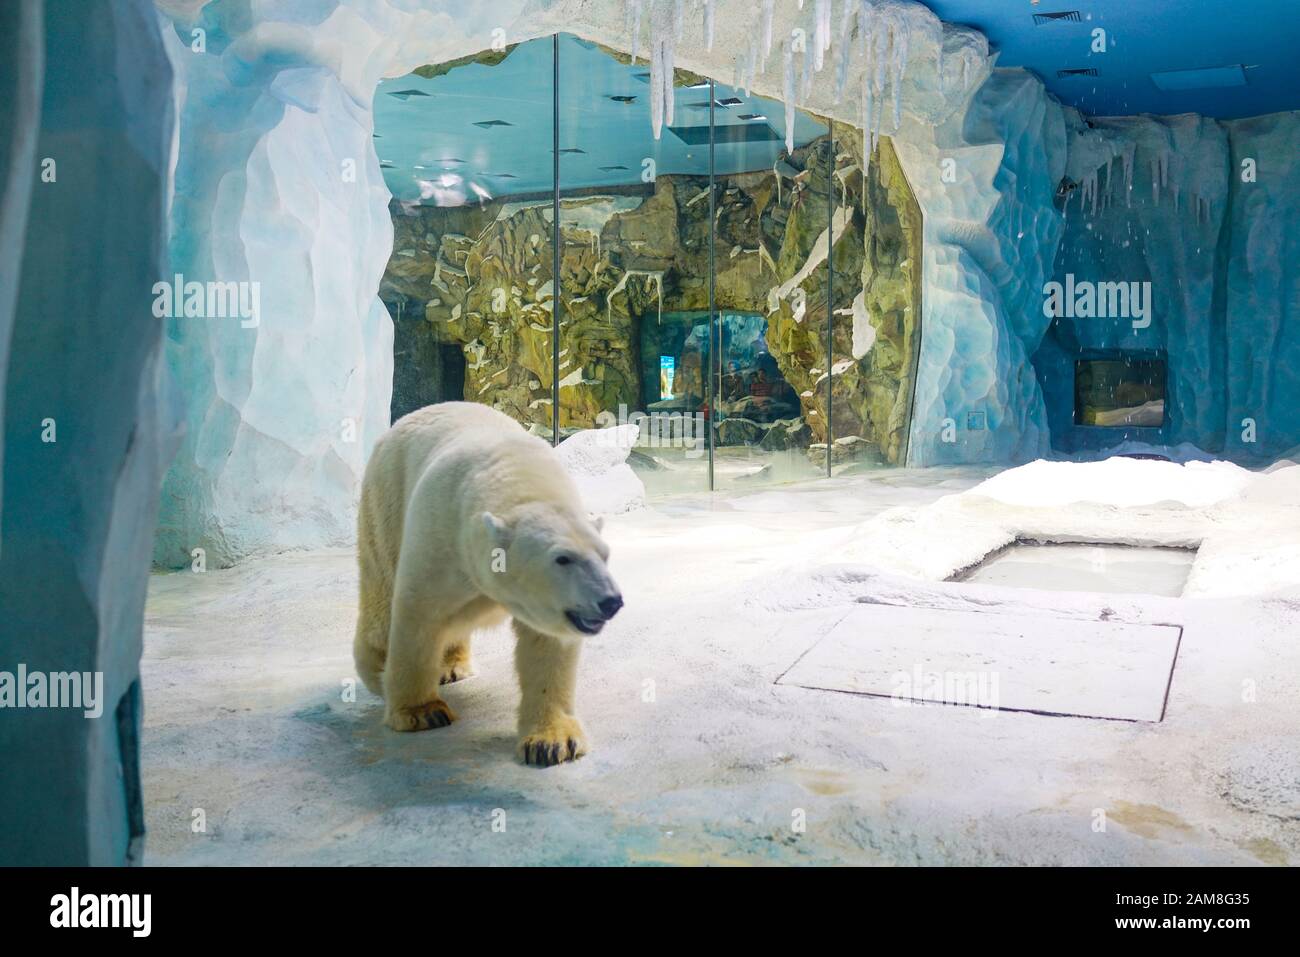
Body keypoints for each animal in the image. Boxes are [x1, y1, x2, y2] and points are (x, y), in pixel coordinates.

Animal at [352, 402, 623, 767]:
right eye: (562, 558)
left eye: (605, 554)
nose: (610, 601)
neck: (516, 475)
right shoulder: (440, 536)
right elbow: (419, 614)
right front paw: (423, 712)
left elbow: (547, 646)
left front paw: (551, 743)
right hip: (385, 500)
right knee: (381, 598)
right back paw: (379, 669)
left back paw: (452, 666)